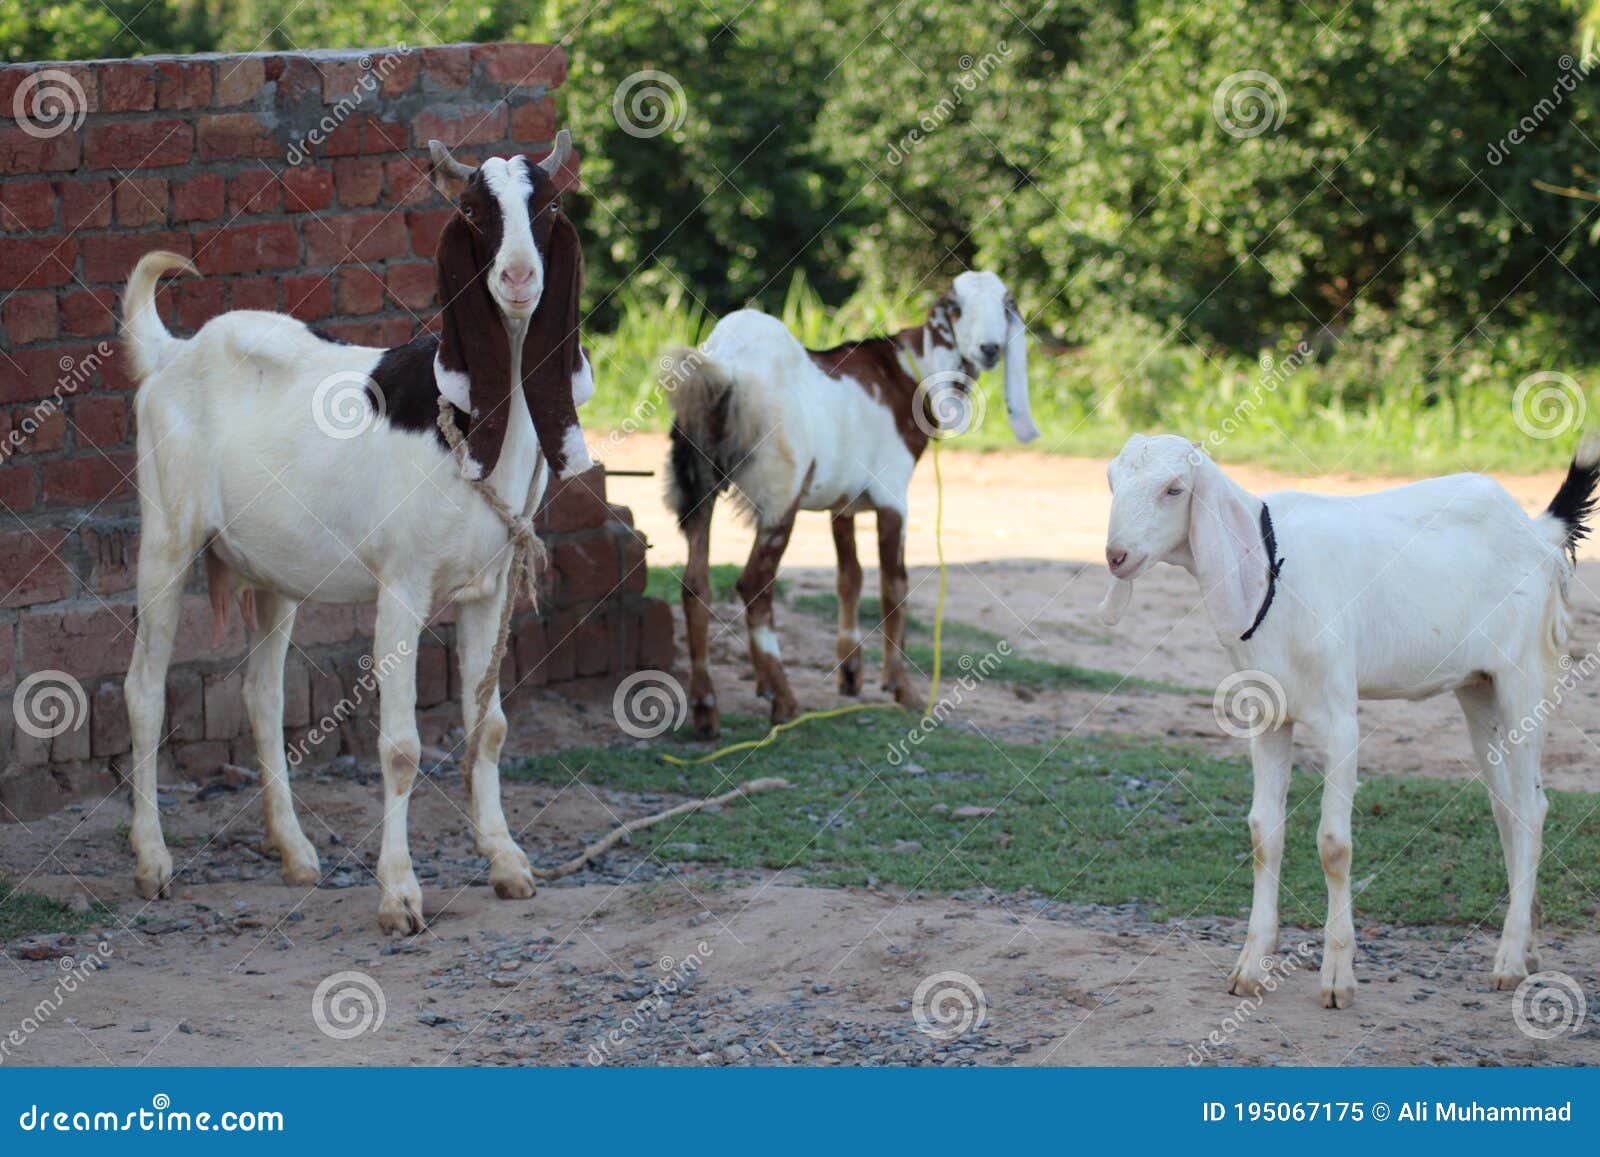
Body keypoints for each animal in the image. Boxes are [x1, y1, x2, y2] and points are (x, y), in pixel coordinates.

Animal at [119, 132, 593, 934]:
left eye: (551, 207)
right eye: (474, 211)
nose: (519, 276)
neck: (467, 419)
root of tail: (173, 355)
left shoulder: (488, 589)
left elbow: (489, 724)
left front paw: (506, 861)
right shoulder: (401, 586)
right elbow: (400, 745)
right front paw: (399, 894)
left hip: (274, 572)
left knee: (261, 693)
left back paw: (295, 853)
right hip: (166, 537)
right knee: (145, 688)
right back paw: (152, 863)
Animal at [661, 272, 1039, 739]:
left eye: (1005, 306)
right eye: (955, 308)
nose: (989, 349)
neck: (907, 373)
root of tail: (727, 369)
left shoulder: (842, 503)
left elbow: (850, 578)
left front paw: (850, 673)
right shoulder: (893, 495)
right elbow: (893, 586)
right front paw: (902, 690)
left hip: (699, 488)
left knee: (695, 585)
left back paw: (706, 706)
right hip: (779, 495)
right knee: (754, 585)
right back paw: (784, 701)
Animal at [1100, 433, 1598, 1005]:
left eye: (1174, 489)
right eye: (1112, 481)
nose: (1116, 555)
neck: (1274, 563)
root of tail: (1538, 531)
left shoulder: (1340, 718)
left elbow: (1334, 845)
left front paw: (1337, 976)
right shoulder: (1268, 716)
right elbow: (1263, 835)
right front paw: (1250, 967)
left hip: (1523, 678)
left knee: (1531, 809)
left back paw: (1511, 960)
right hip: (1479, 688)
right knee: (1506, 807)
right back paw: (1528, 944)